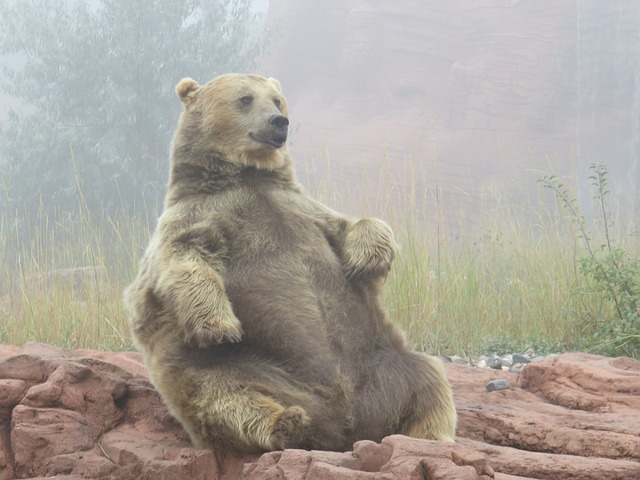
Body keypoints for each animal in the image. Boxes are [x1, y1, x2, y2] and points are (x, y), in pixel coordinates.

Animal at [123, 73, 457, 454]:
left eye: (277, 99)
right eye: (245, 98)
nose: (278, 122)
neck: (248, 175)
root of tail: (345, 424)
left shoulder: (303, 209)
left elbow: (353, 226)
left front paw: (365, 260)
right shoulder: (200, 218)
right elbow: (186, 263)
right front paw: (221, 326)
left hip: (379, 363)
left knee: (427, 377)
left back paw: (427, 436)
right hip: (245, 366)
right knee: (224, 393)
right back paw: (287, 423)